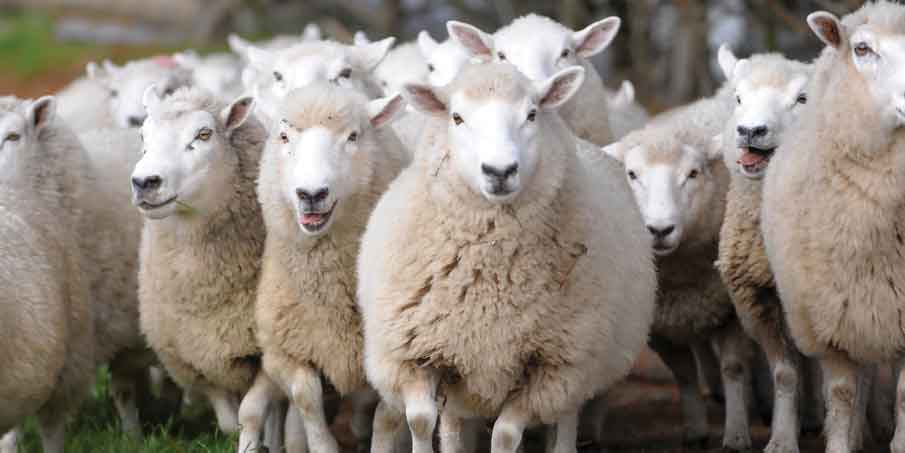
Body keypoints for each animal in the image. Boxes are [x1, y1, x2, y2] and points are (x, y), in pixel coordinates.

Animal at [131, 86, 266, 434]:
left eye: (204, 134)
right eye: (143, 135)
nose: (144, 182)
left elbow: (252, 413)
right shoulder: (192, 357)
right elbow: (230, 423)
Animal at [236, 83, 408, 453]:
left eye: (353, 136)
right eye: (284, 136)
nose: (311, 193)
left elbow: (381, 415)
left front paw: (359, 430)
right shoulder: (284, 351)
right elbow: (306, 398)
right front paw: (324, 442)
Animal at [359, 62, 656, 453]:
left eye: (532, 114)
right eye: (456, 117)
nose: (499, 171)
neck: (491, 275)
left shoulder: (552, 367)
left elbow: (505, 435)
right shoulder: (415, 354)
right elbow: (421, 421)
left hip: (580, 367)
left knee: (566, 417)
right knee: (452, 422)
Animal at [602, 81, 756, 450]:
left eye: (693, 173)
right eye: (632, 174)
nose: (659, 230)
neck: (680, 274)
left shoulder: (731, 307)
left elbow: (734, 367)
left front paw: (736, 433)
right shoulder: (657, 321)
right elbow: (684, 373)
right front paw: (696, 428)